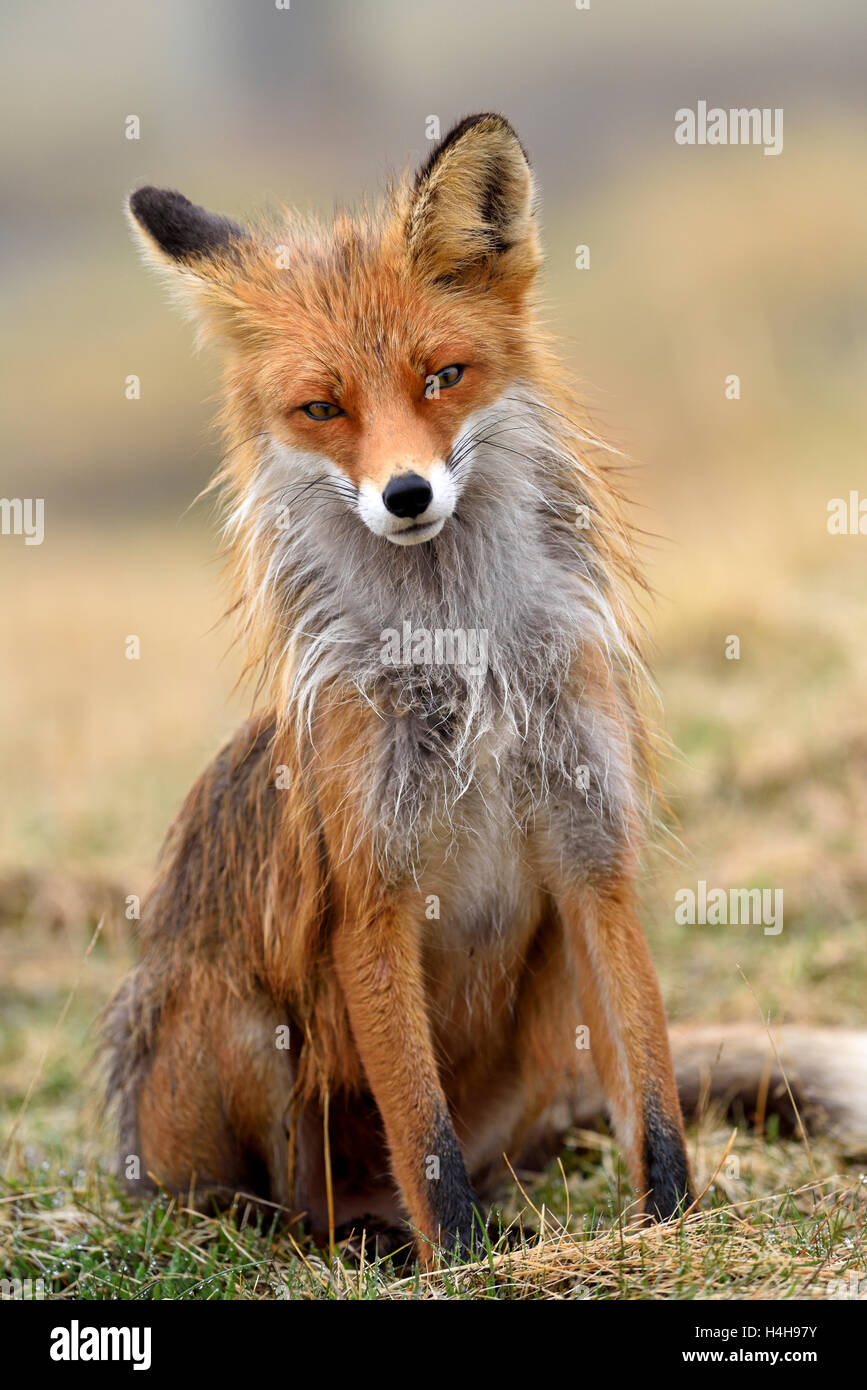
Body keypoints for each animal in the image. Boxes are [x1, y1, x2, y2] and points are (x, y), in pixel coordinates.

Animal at [104, 113, 867, 1262]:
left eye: (443, 376)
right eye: (322, 408)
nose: (406, 494)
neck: (474, 668)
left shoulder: (592, 847)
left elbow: (652, 1094)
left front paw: (668, 1228)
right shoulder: (369, 895)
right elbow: (425, 1139)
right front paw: (456, 1263)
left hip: (532, 1060)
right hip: (250, 1033)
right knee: (290, 1205)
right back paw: (355, 1243)